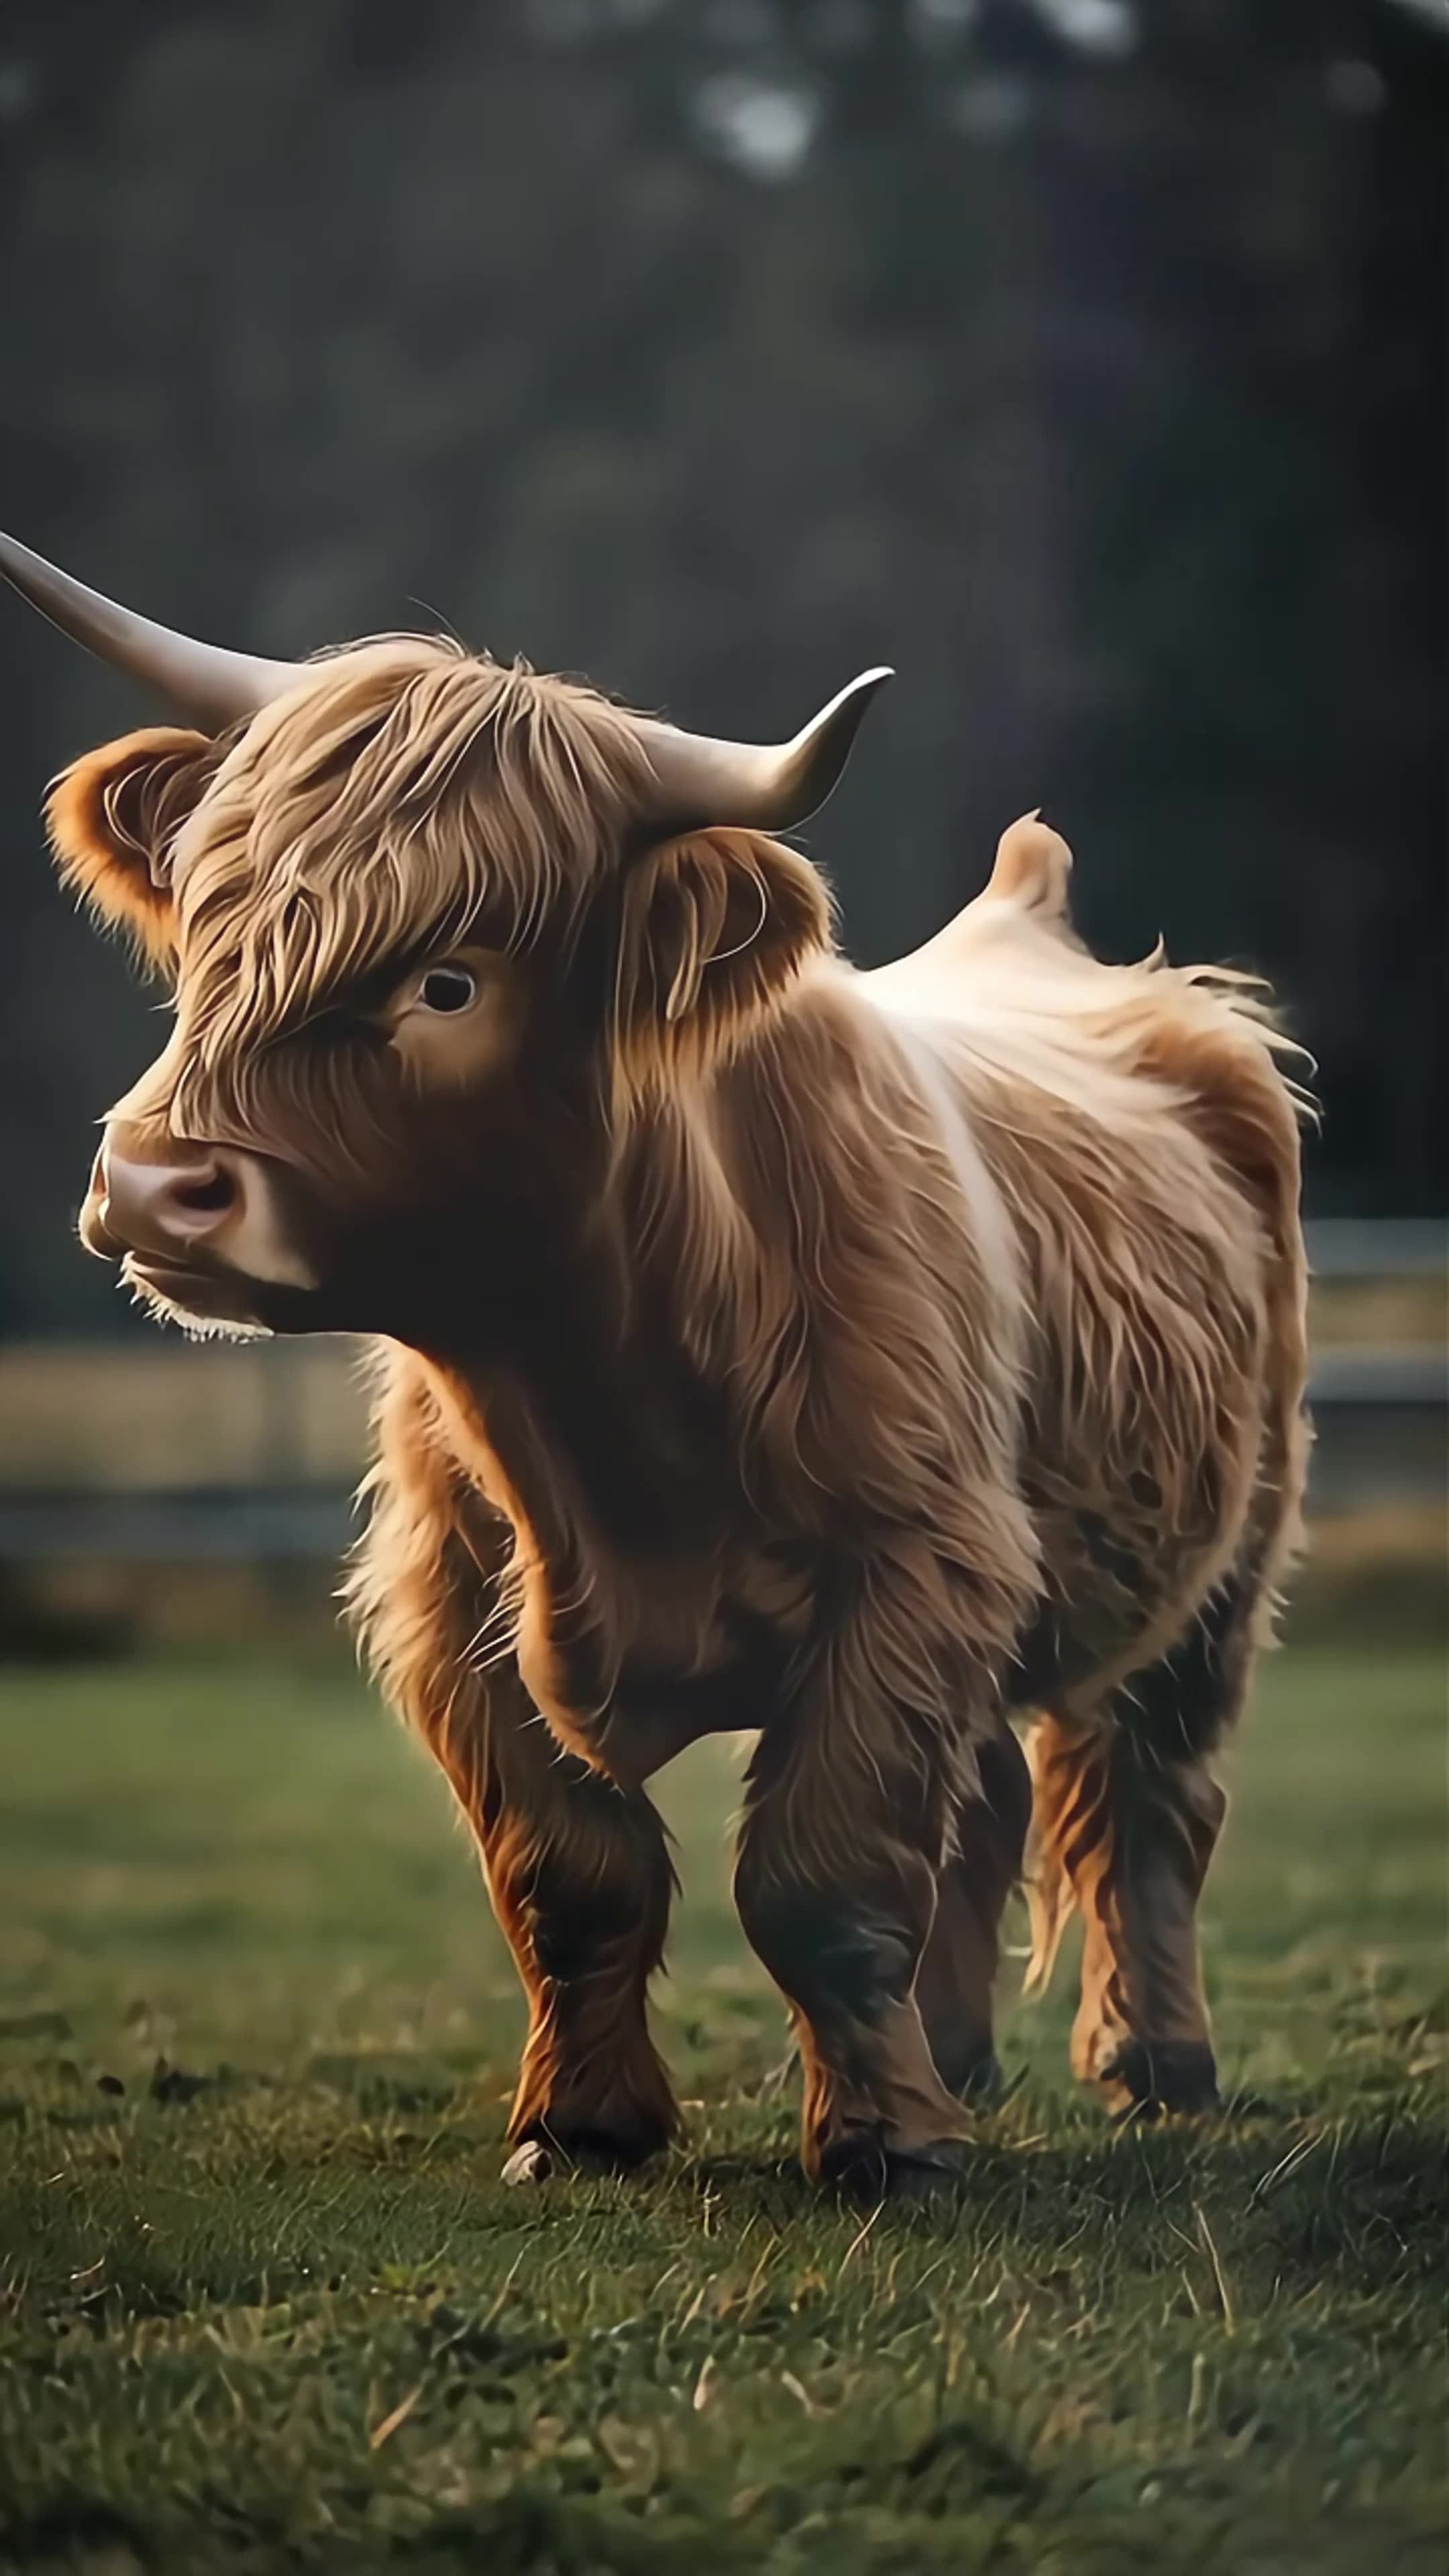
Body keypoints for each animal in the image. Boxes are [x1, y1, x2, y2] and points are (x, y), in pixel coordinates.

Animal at [2, 532, 1311, 2195]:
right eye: (211, 923)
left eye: (449, 981)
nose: (155, 1186)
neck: (602, 1425)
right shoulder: (455, 1595)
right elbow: (577, 1877)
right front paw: (582, 2126)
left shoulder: (913, 1570)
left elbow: (823, 1875)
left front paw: (885, 2147)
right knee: (998, 1804)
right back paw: (960, 2063)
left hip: (1224, 1563)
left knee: (1149, 1800)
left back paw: (1153, 2065)